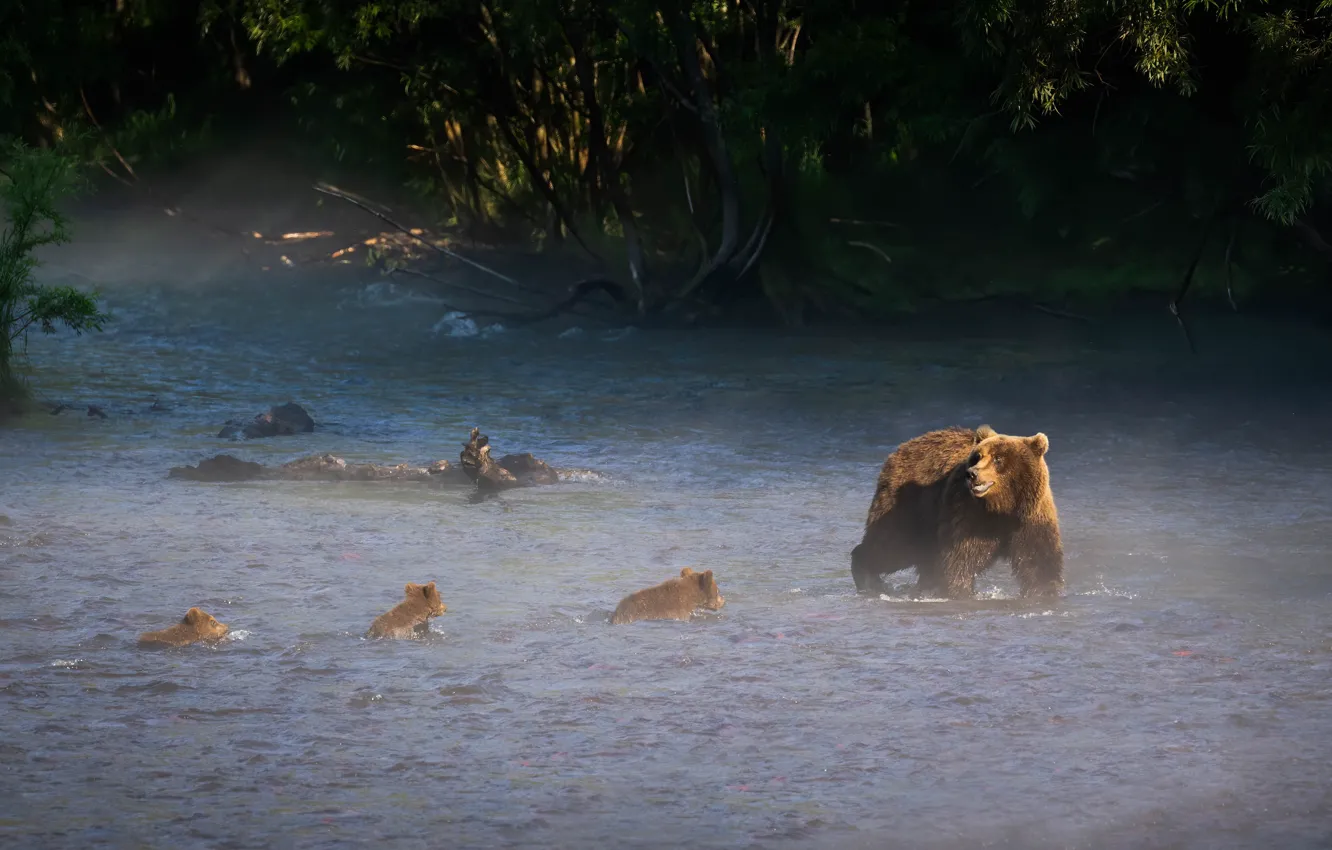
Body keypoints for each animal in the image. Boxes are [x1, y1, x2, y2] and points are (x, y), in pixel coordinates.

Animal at [850, 424, 1064, 599]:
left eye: (998, 458)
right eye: (978, 456)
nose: (972, 473)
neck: (1002, 509)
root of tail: (901, 448)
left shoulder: (1031, 518)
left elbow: (1039, 561)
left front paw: (1044, 591)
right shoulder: (969, 514)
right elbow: (960, 558)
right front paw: (960, 591)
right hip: (909, 507)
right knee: (892, 545)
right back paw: (869, 578)